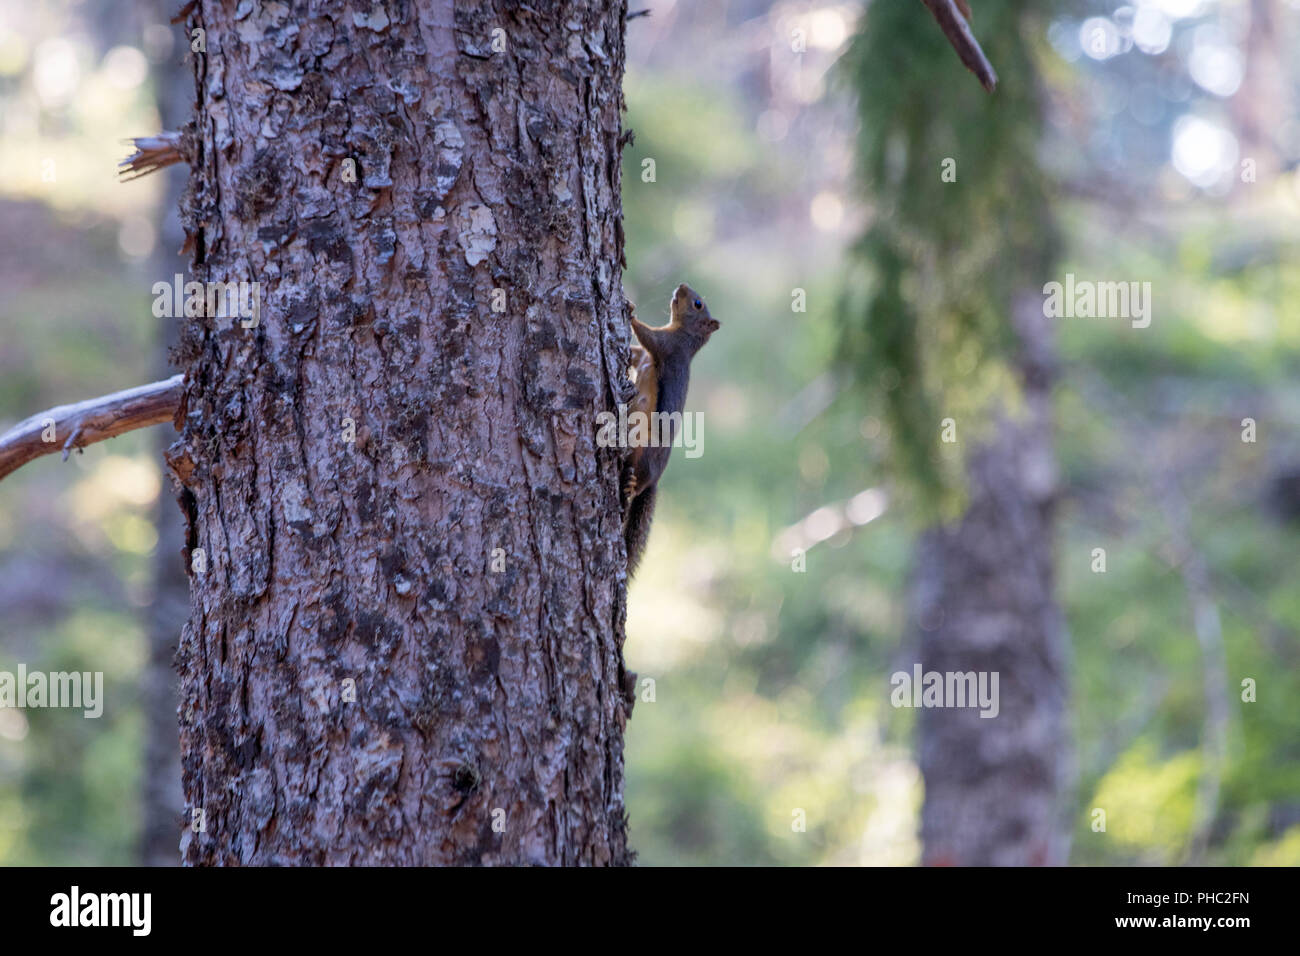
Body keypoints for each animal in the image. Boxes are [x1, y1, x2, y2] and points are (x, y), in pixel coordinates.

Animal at [622, 283, 720, 574]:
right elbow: (635, 352)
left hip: (647, 454)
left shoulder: (667, 346)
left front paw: (630, 311)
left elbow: (646, 335)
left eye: (698, 303)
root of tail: (656, 481)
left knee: (639, 481)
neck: (684, 334)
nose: (682, 286)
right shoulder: (645, 354)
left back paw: (632, 484)